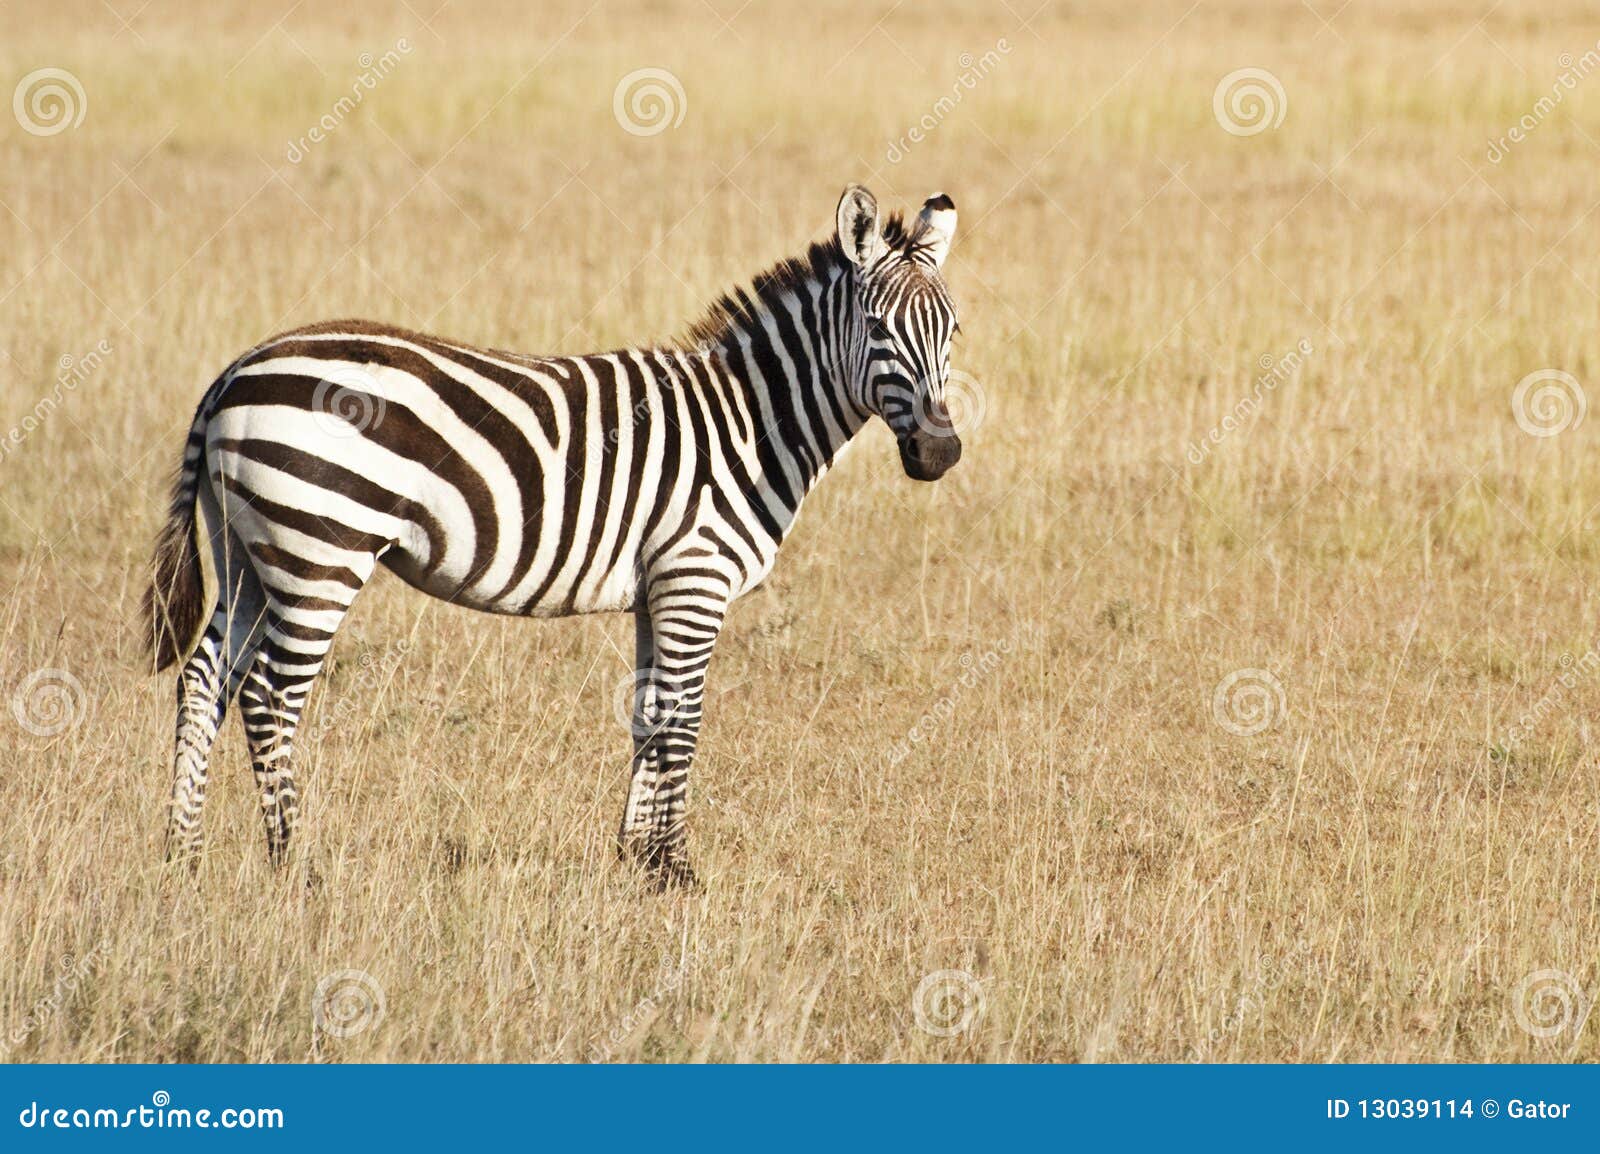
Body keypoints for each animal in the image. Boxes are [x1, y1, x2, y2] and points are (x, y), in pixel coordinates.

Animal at [145, 184, 962, 888]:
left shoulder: (658, 589)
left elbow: (647, 713)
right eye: (880, 330)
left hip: (250, 554)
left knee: (204, 679)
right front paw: (678, 870)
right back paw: (296, 865)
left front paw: (638, 860)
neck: (748, 421)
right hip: (322, 551)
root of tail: (235, 372)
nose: (939, 453)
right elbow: (685, 721)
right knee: (271, 697)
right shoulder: (695, 580)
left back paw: (182, 857)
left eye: (952, 332)